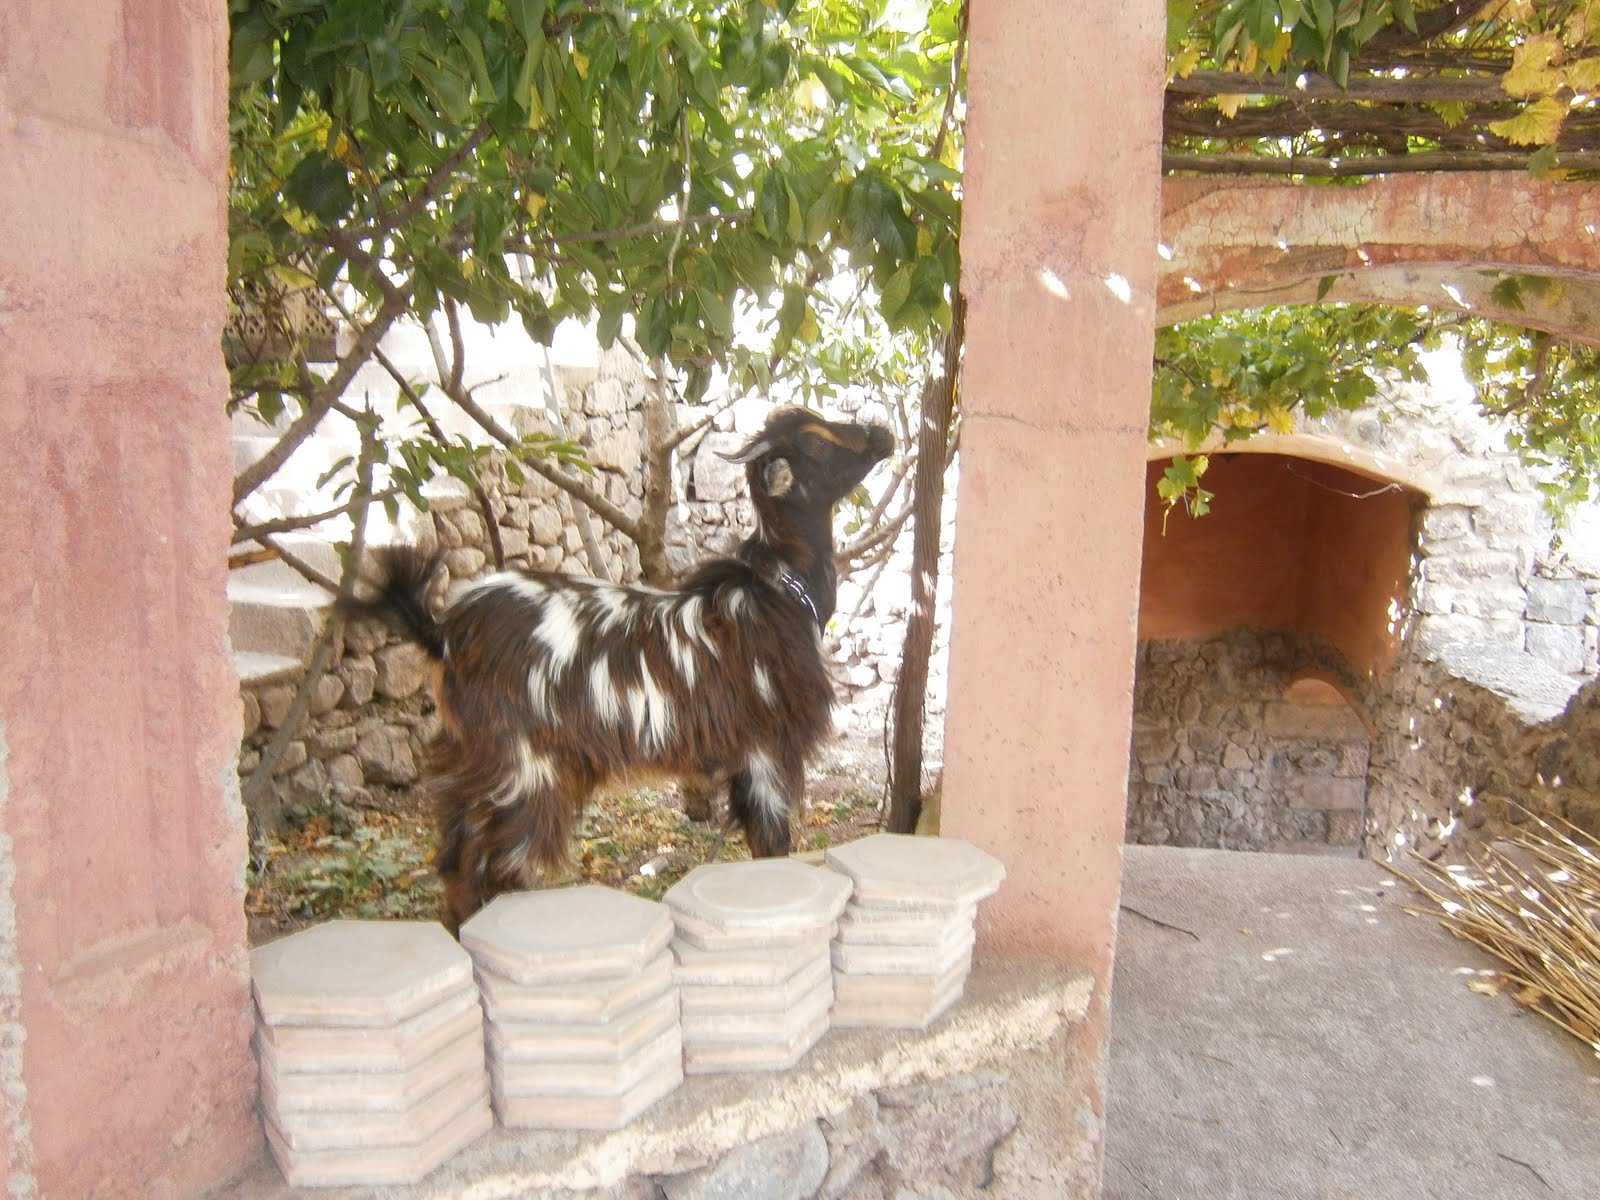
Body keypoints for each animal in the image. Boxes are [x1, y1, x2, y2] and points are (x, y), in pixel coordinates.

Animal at [341, 407, 894, 929]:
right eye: (816, 443)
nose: (882, 433)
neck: (779, 596)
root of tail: (445, 632)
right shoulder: (767, 751)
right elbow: (772, 847)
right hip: (524, 770)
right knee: (497, 871)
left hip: (471, 762)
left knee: (455, 864)